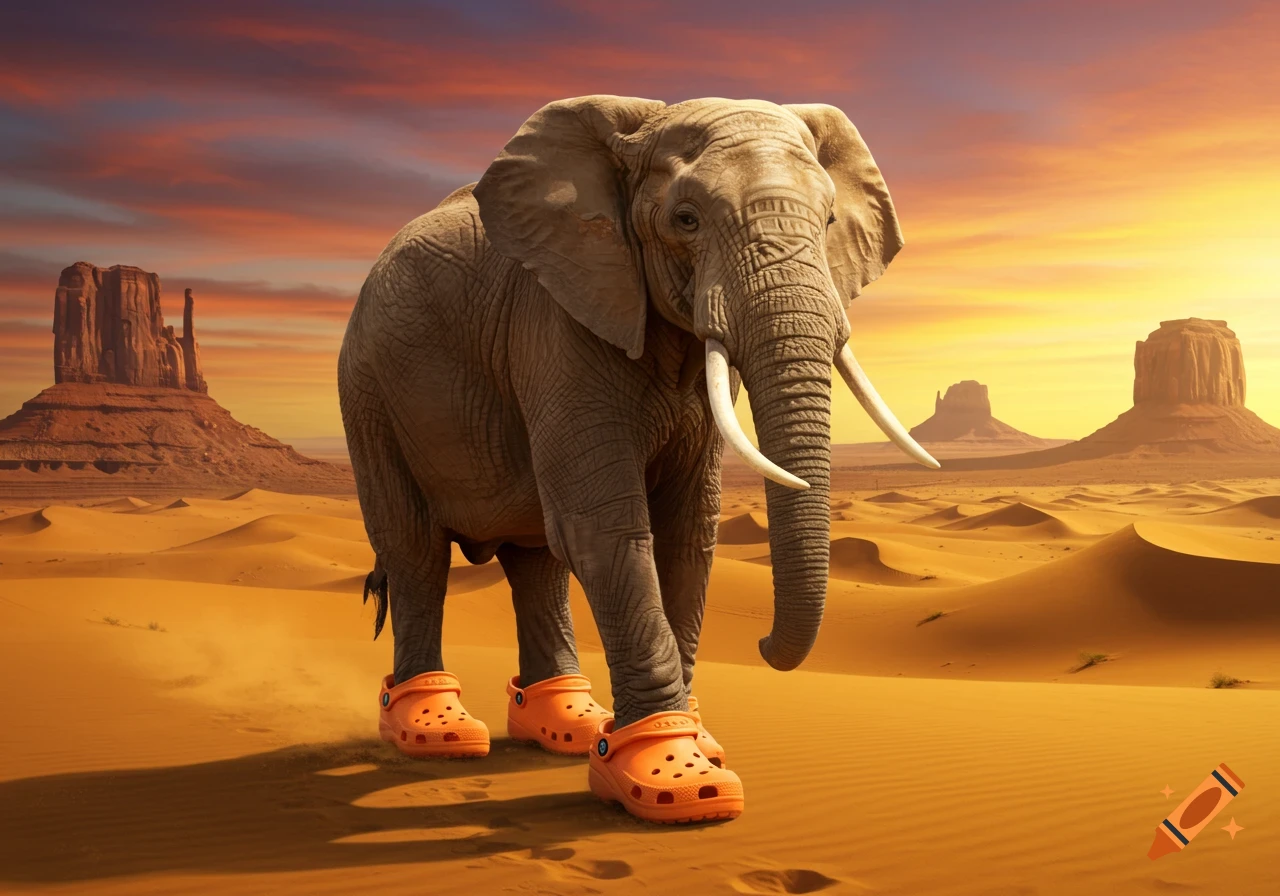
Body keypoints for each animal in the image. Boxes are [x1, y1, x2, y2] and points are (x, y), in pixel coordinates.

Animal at [338, 95, 937, 822]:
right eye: (686, 220)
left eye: (826, 222)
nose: (765, 645)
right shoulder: (557, 320)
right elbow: (607, 528)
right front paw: (676, 780)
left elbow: (687, 533)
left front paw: (695, 748)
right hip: (369, 390)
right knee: (416, 549)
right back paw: (434, 730)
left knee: (536, 559)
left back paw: (566, 723)